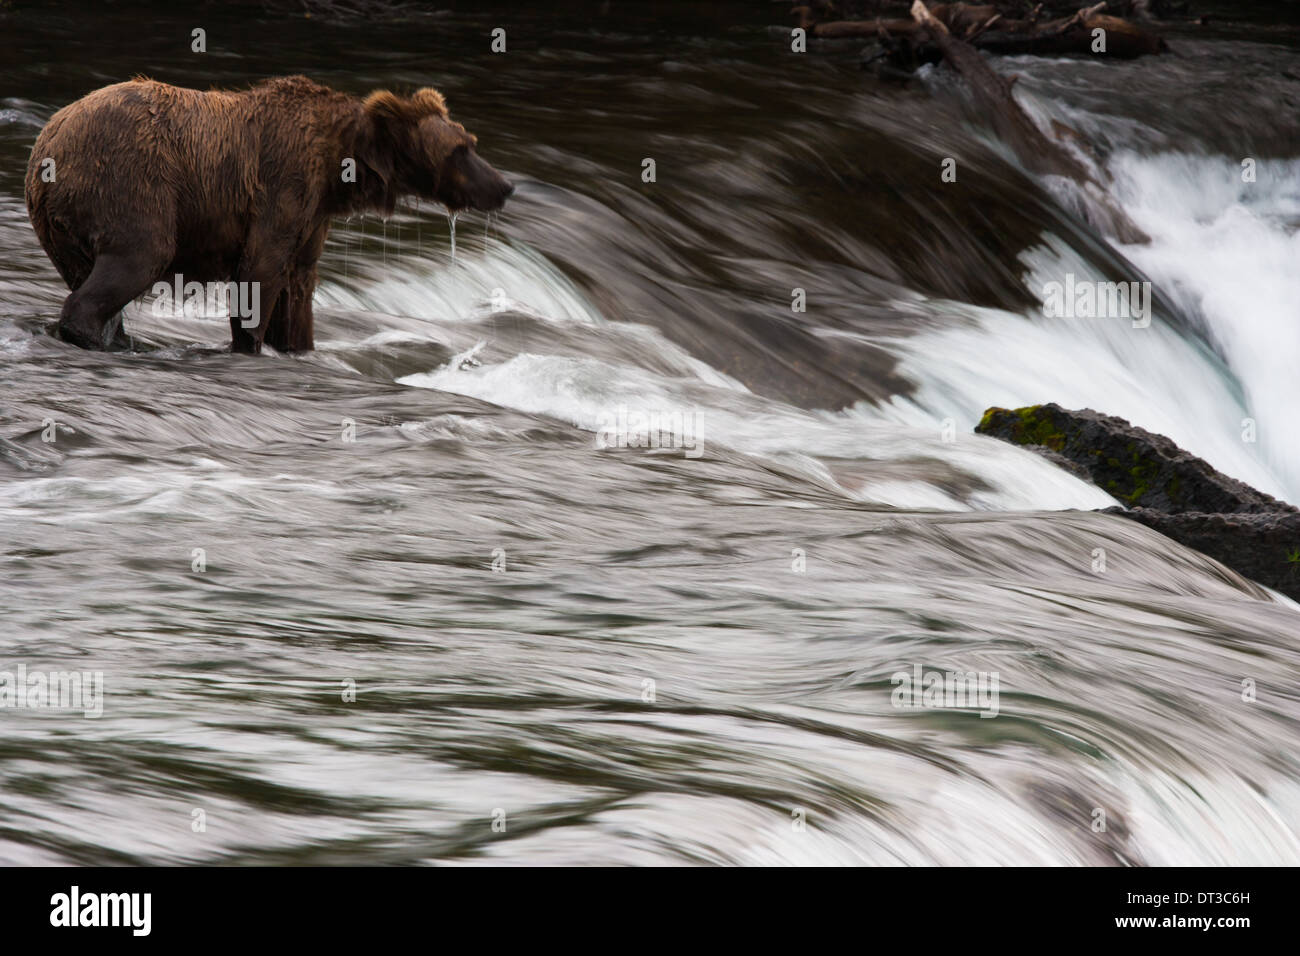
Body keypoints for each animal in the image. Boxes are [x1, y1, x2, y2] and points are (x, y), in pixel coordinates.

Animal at [24, 76, 513, 353]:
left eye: (470, 141)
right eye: (461, 149)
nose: (505, 186)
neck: (339, 169)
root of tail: (48, 142)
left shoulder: (313, 215)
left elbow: (298, 290)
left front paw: (297, 345)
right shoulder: (281, 188)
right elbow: (259, 274)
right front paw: (250, 344)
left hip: (60, 226)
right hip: (128, 182)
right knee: (139, 256)